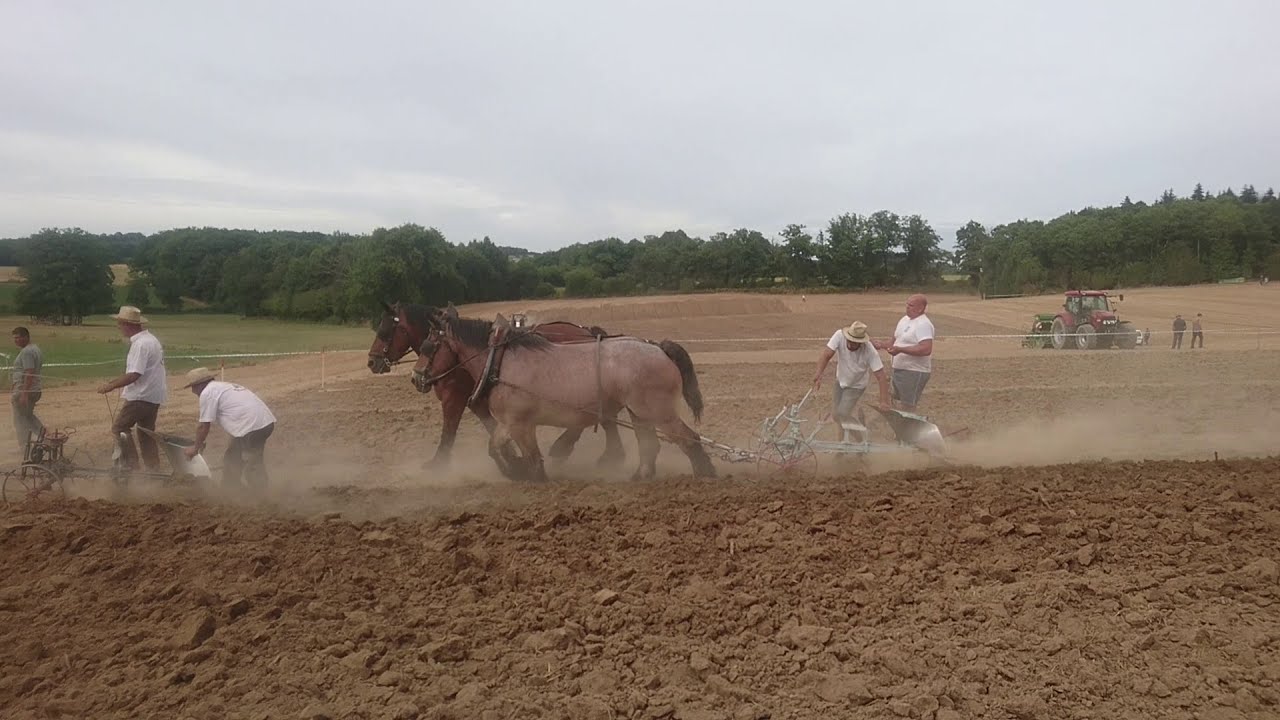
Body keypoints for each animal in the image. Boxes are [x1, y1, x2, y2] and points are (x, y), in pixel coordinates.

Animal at [366, 301, 625, 470]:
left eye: (384, 330)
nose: (371, 361)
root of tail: (588, 331)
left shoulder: (455, 398)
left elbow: (449, 430)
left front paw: (438, 464)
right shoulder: (479, 401)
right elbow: (492, 427)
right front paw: (512, 453)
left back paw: (573, 449)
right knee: (604, 416)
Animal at [429, 304, 716, 483]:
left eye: (430, 345)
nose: (421, 377)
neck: (499, 361)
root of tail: (658, 347)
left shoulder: (519, 423)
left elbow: (530, 456)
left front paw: (531, 475)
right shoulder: (511, 423)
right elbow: (496, 448)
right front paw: (516, 471)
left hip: (658, 412)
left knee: (688, 439)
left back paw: (706, 473)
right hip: (639, 413)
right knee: (649, 445)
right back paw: (639, 475)